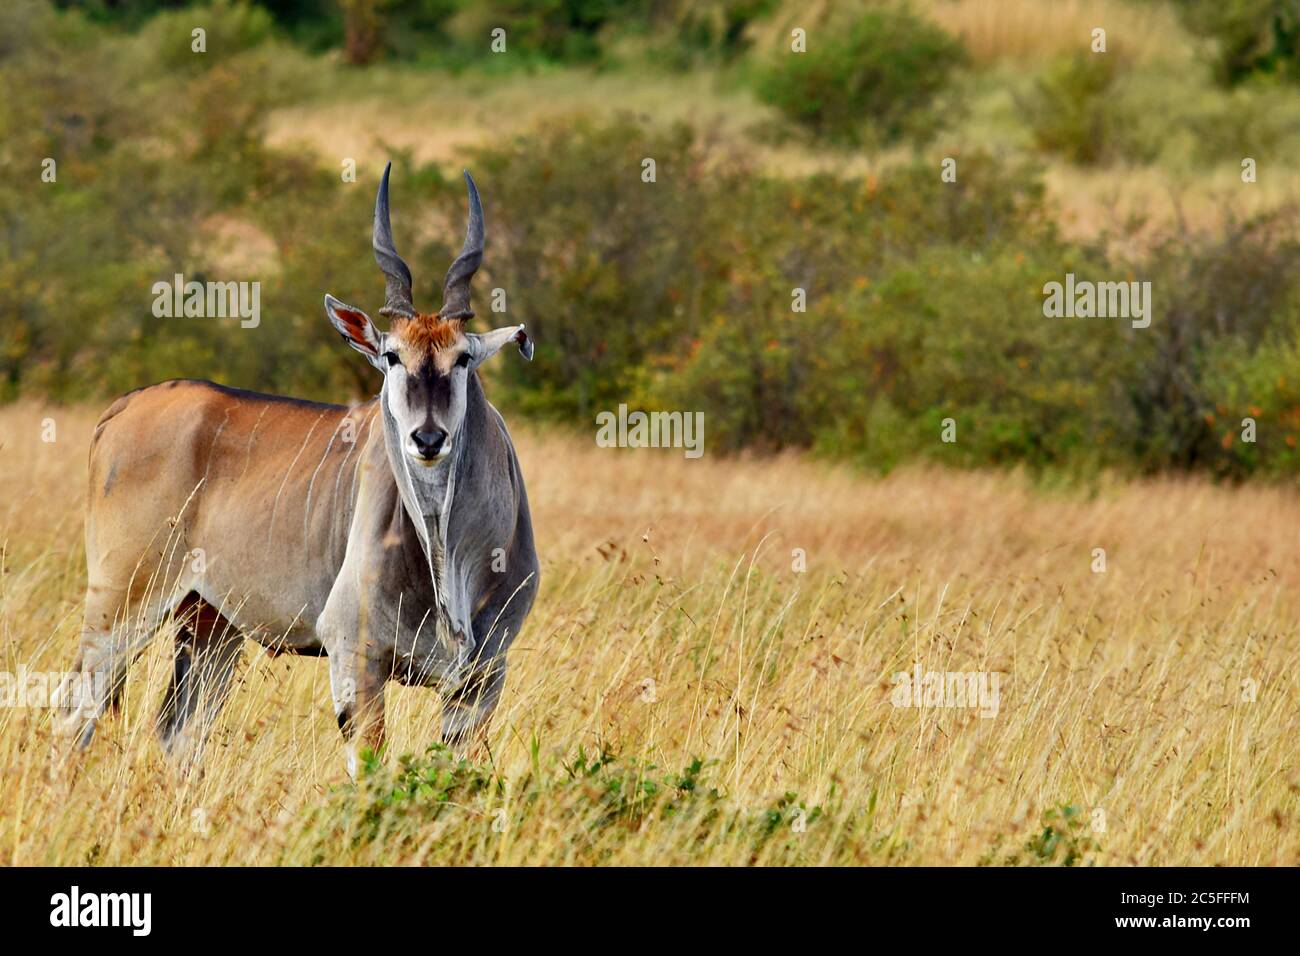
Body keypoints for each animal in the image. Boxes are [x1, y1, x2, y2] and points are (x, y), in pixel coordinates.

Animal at [55, 165, 539, 774]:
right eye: (392, 356)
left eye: (464, 359)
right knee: (76, 709)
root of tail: (123, 406)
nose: (427, 439)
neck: (449, 554)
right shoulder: (355, 655)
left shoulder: (481, 680)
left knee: (177, 732)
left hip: (209, 625)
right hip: (121, 604)